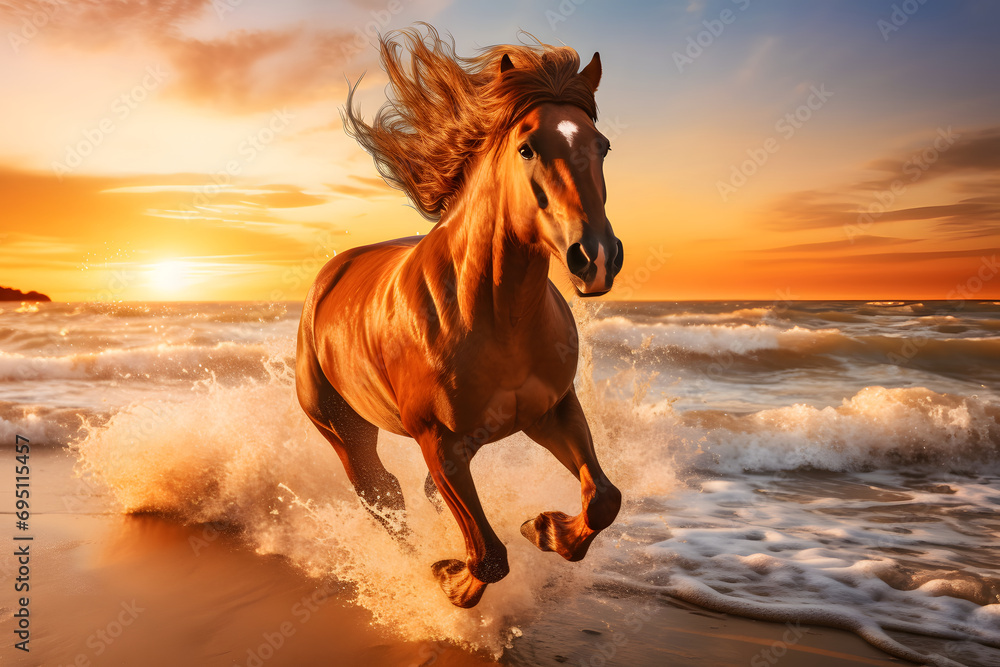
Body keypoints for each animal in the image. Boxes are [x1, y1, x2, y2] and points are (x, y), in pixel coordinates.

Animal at [295, 26, 623, 608]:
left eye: (601, 145)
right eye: (526, 147)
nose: (597, 257)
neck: (498, 316)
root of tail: (330, 275)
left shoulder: (553, 410)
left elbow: (603, 498)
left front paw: (545, 528)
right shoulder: (440, 444)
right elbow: (489, 556)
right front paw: (448, 577)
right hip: (344, 432)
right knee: (384, 497)